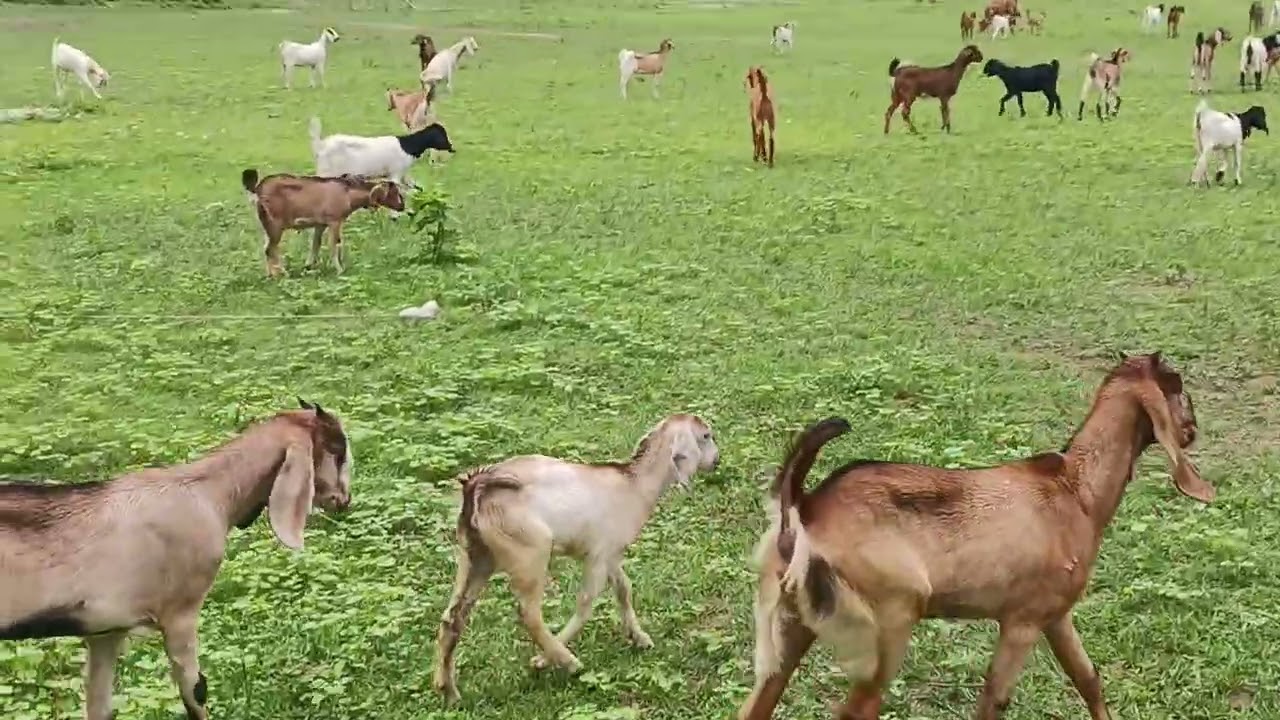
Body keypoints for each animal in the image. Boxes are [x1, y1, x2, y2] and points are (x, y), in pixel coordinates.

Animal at [0, 398, 353, 720]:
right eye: (337, 450)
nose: (344, 499)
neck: (209, 494)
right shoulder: (180, 612)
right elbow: (196, 691)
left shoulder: (105, 629)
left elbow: (100, 705)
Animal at [242, 169, 404, 278]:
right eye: (394, 192)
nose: (402, 206)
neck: (348, 193)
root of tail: (257, 188)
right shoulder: (335, 221)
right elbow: (334, 244)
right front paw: (339, 270)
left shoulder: (320, 224)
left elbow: (316, 244)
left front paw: (308, 266)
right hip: (275, 224)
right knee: (270, 249)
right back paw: (283, 274)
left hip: (266, 224)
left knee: (267, 248)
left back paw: (271, 274)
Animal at [308, 116, 455, 192]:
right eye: (442, 134)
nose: (452, 148)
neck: (407, 146)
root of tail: (320, 146)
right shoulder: (395, 173)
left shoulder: (403, 174)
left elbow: (415, 187)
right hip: (326, 173)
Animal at [430, 414, 721, 703]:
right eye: (706, 435)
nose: (717, 460)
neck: (634, 485)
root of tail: (478, 488)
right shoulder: (598, 555)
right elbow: (586, 604)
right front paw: (541, 661)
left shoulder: (612, 554)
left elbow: (624, 589)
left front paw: (639, 637)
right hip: (529, 552)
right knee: (528, 614)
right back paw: (567, 662)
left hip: (475, 555)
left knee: (452, 617)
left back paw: (448, 690)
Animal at [735, 353, 1214, 720]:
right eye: (1178, 386)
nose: (1192, 429)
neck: (1077, 491)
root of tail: (803, 508)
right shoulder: (1022, 619)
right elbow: (994, 701)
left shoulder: (1056, 614)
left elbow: (1088, 679)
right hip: (888, 620)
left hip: (789, 625)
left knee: (758, 703)